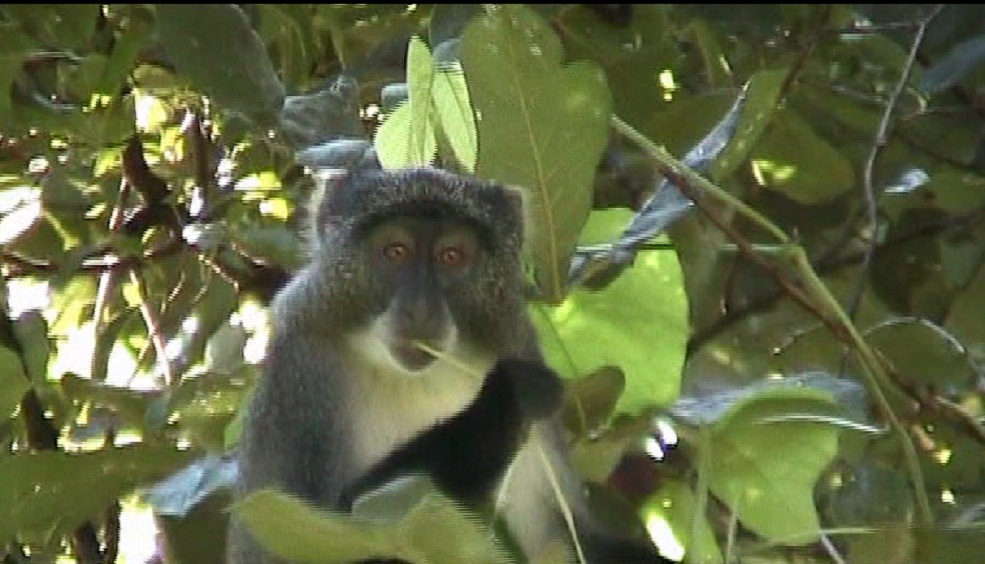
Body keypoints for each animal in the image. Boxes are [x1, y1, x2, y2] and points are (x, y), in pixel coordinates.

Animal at [227, 167, 669, 563]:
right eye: (396, 251)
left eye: (451, 256)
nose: (420, 310)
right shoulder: (302, 365)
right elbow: (328, 533)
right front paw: (505, 397)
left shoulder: (517, 343)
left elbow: (564, 535)